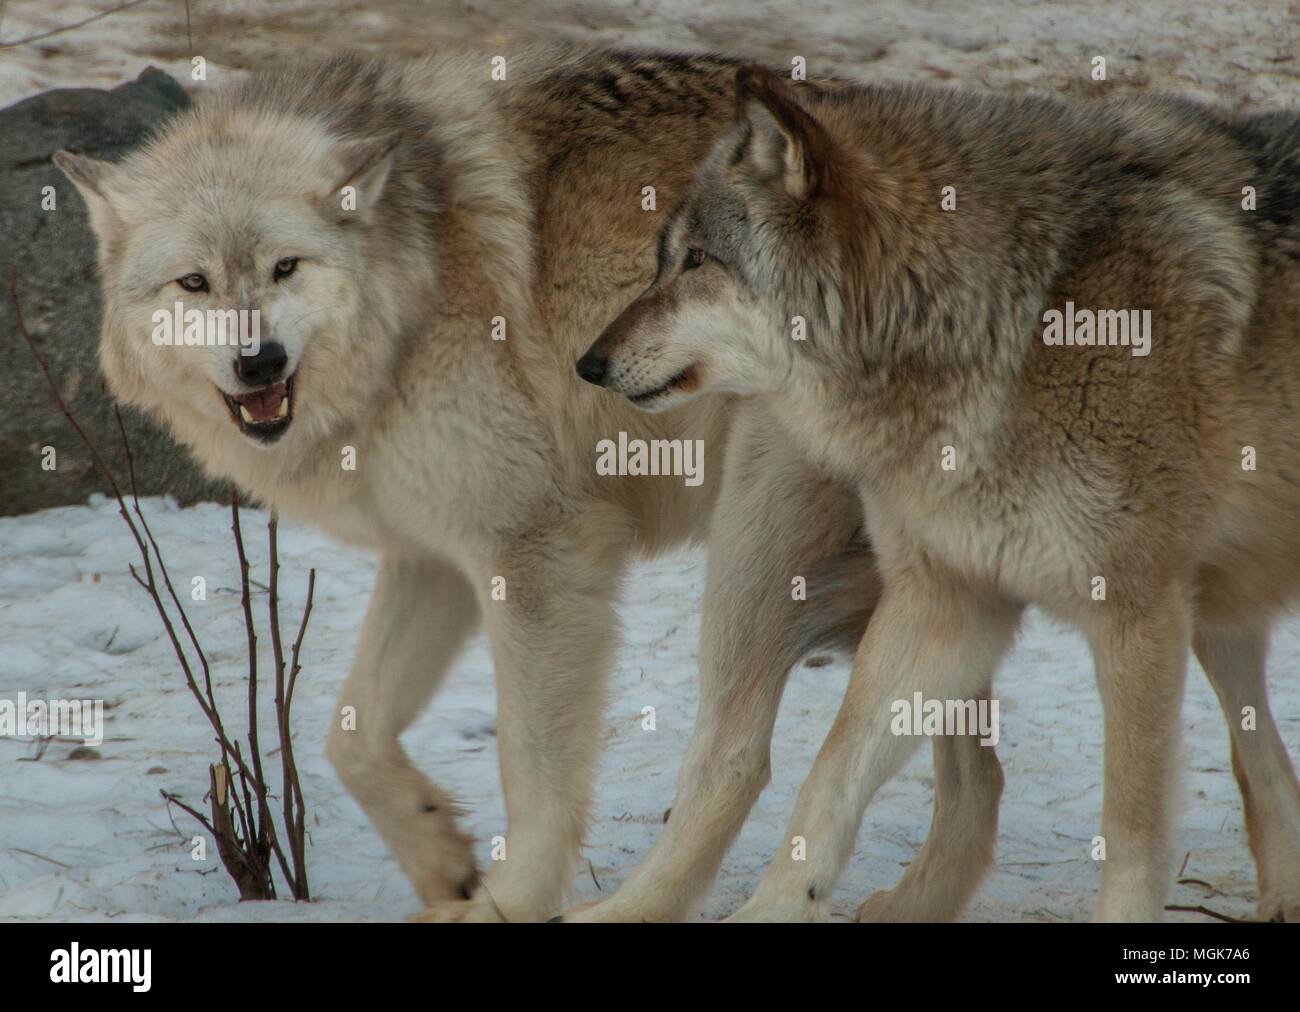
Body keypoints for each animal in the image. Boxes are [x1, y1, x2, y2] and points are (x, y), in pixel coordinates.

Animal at [53, 49, 896, 922]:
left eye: (285, 268)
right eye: (194, 283)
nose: (261, 362)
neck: (414, 286)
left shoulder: (537, 547)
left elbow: (532, 775)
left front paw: (506, 902)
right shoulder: (430, 556)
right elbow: (350, 735)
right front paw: (442, 862)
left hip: (751, 550)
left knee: (736, 762)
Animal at [579, 65, 1300, 921]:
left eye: (696, 260)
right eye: (667, 259)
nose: (589, 362)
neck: (1007, 323)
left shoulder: (1136, 612)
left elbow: (1129, 832)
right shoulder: (947, 600)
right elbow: (829, 779)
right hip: (1215, 616)